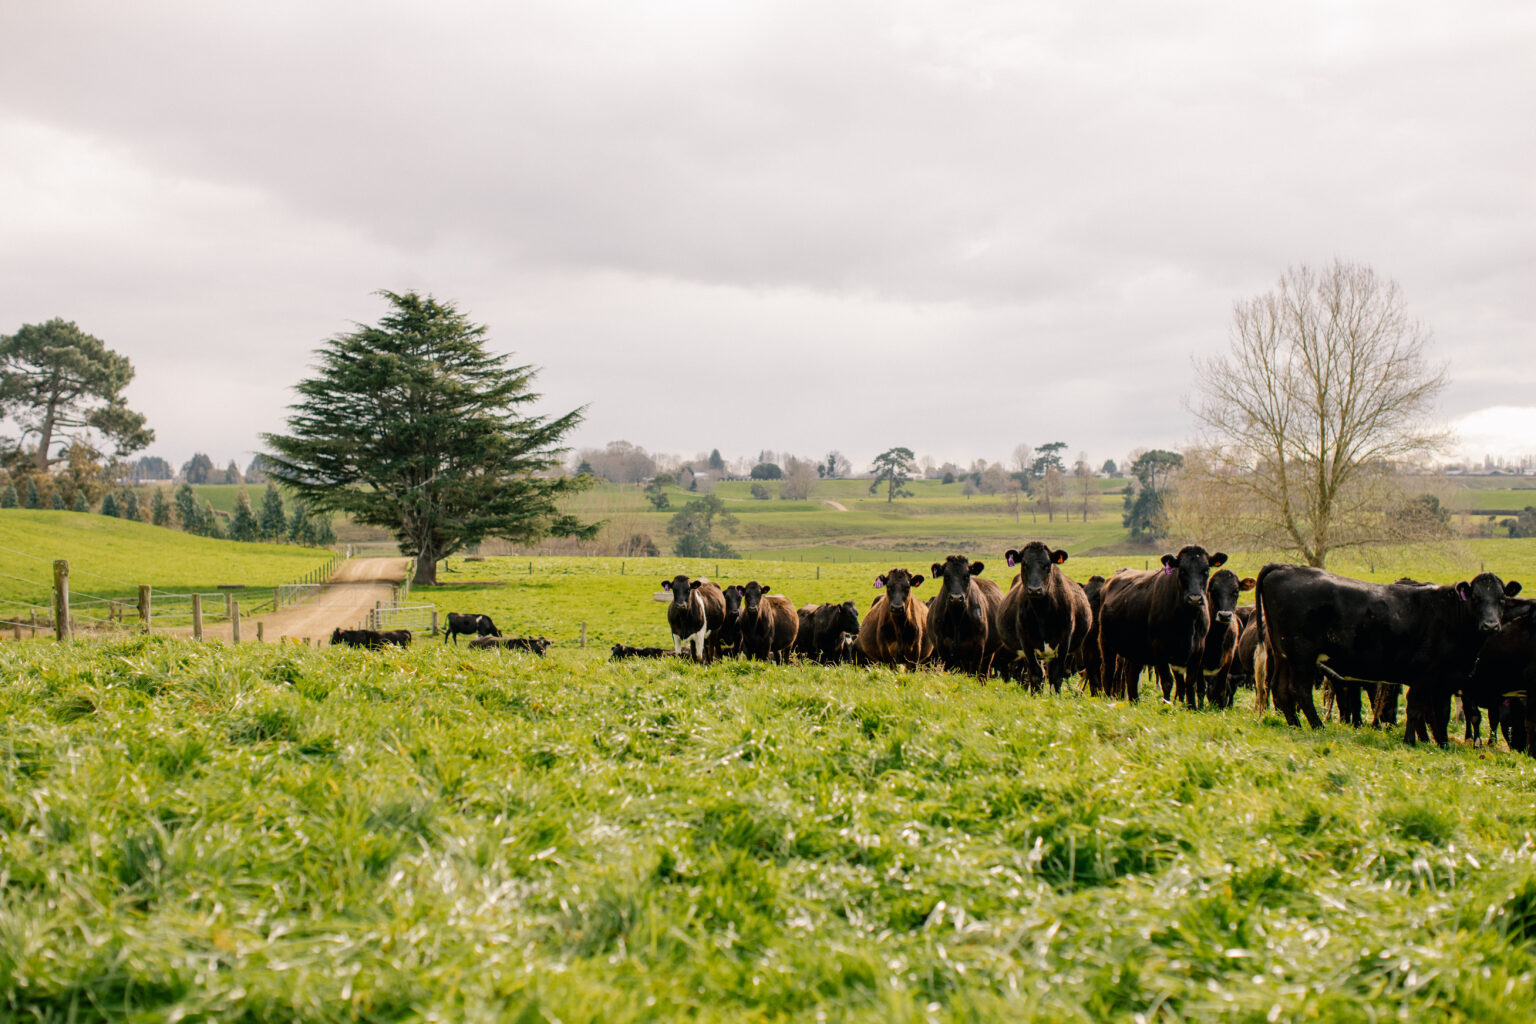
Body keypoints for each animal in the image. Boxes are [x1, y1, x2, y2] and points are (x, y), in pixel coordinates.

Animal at [996, 544, 1091, 692]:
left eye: (1047, 565)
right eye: (1024, 564)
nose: (1035, 590)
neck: (1042, 613)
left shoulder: (1064, 642)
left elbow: (1056, 675)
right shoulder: (1026, 643)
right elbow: (1036, 674)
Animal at [1097, 546, 1228, 705]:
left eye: (1206, 570)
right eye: (1182, 570)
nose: (1195, 598)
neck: (1188, 620)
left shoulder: (1198, 650)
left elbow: (1191, 682)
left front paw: (1192, 706)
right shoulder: (1160, 648)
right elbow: (1167, 681)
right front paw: (1167, 704)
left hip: (1136, 649)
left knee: (1131, 675)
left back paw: (1134, 702)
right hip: (1106, 643)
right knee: (1107, 671)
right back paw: (1107, 699)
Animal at [1254, 564, 1522, 746]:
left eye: (1502, 598)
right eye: (1475, 598)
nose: (1490, 626)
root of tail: (1285, 567)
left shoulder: (1445, 681)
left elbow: (1442, 714)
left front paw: (1443, 744)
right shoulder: (1424, 677)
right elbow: (1417, 709)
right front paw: (1410, 741)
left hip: (1283, 654)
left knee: (1280, 689)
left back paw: (1295, 725)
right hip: (1302, 655)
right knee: (1299, 690)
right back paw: (1317, 726)